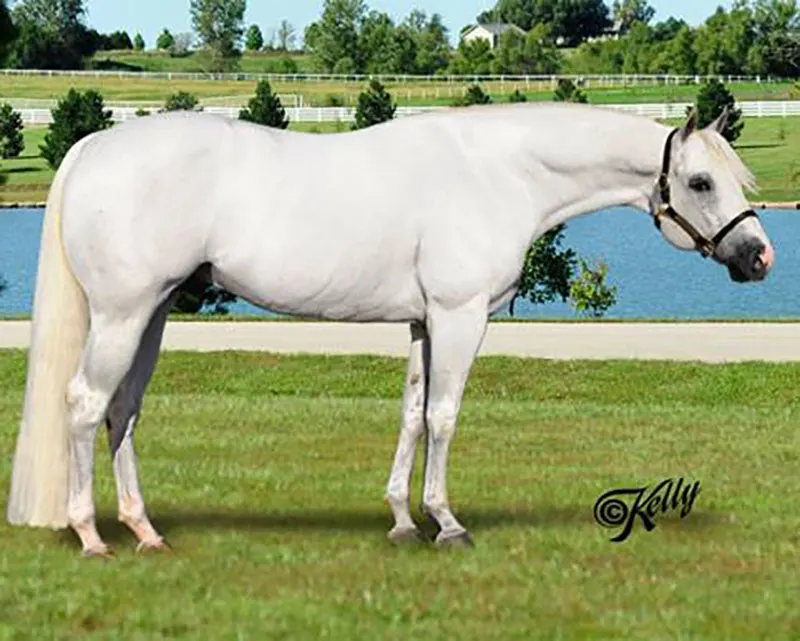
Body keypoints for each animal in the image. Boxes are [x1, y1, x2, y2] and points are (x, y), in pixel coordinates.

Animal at [6, 103, 774, 556]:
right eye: (701, 183)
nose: (759, 256)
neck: (499, 172)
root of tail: (95, 145)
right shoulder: (460, 316)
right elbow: (443, 416)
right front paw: (447, 523)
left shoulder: (422, 322)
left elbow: (410, 412)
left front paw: (403, 521)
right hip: (123, 313)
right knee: (85, 404)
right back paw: (90, 535)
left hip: (154, 312)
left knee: (124, 410)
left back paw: (145, 530)